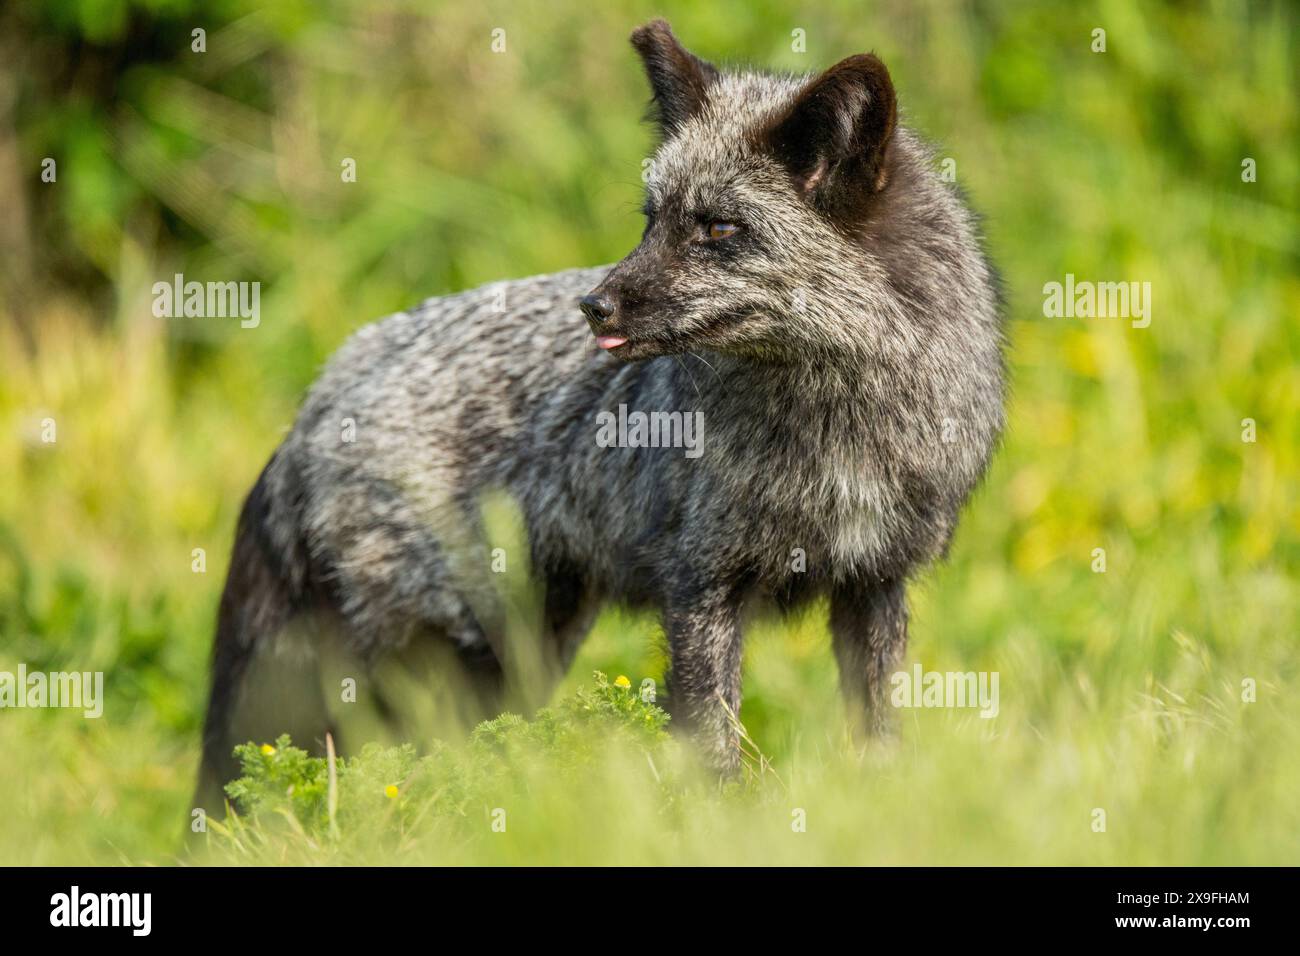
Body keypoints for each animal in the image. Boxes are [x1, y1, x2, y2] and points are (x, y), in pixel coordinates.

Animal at [195, 19, 1005, 811]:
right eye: (651, 221)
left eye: (719, 229)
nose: (594, 307)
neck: (838, 427)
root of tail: (325, 389)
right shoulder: (700, 586)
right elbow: (713, 742)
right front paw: (718, 824)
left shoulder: (875, 582)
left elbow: (876, 731)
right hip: (439, 655)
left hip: (524, 648)